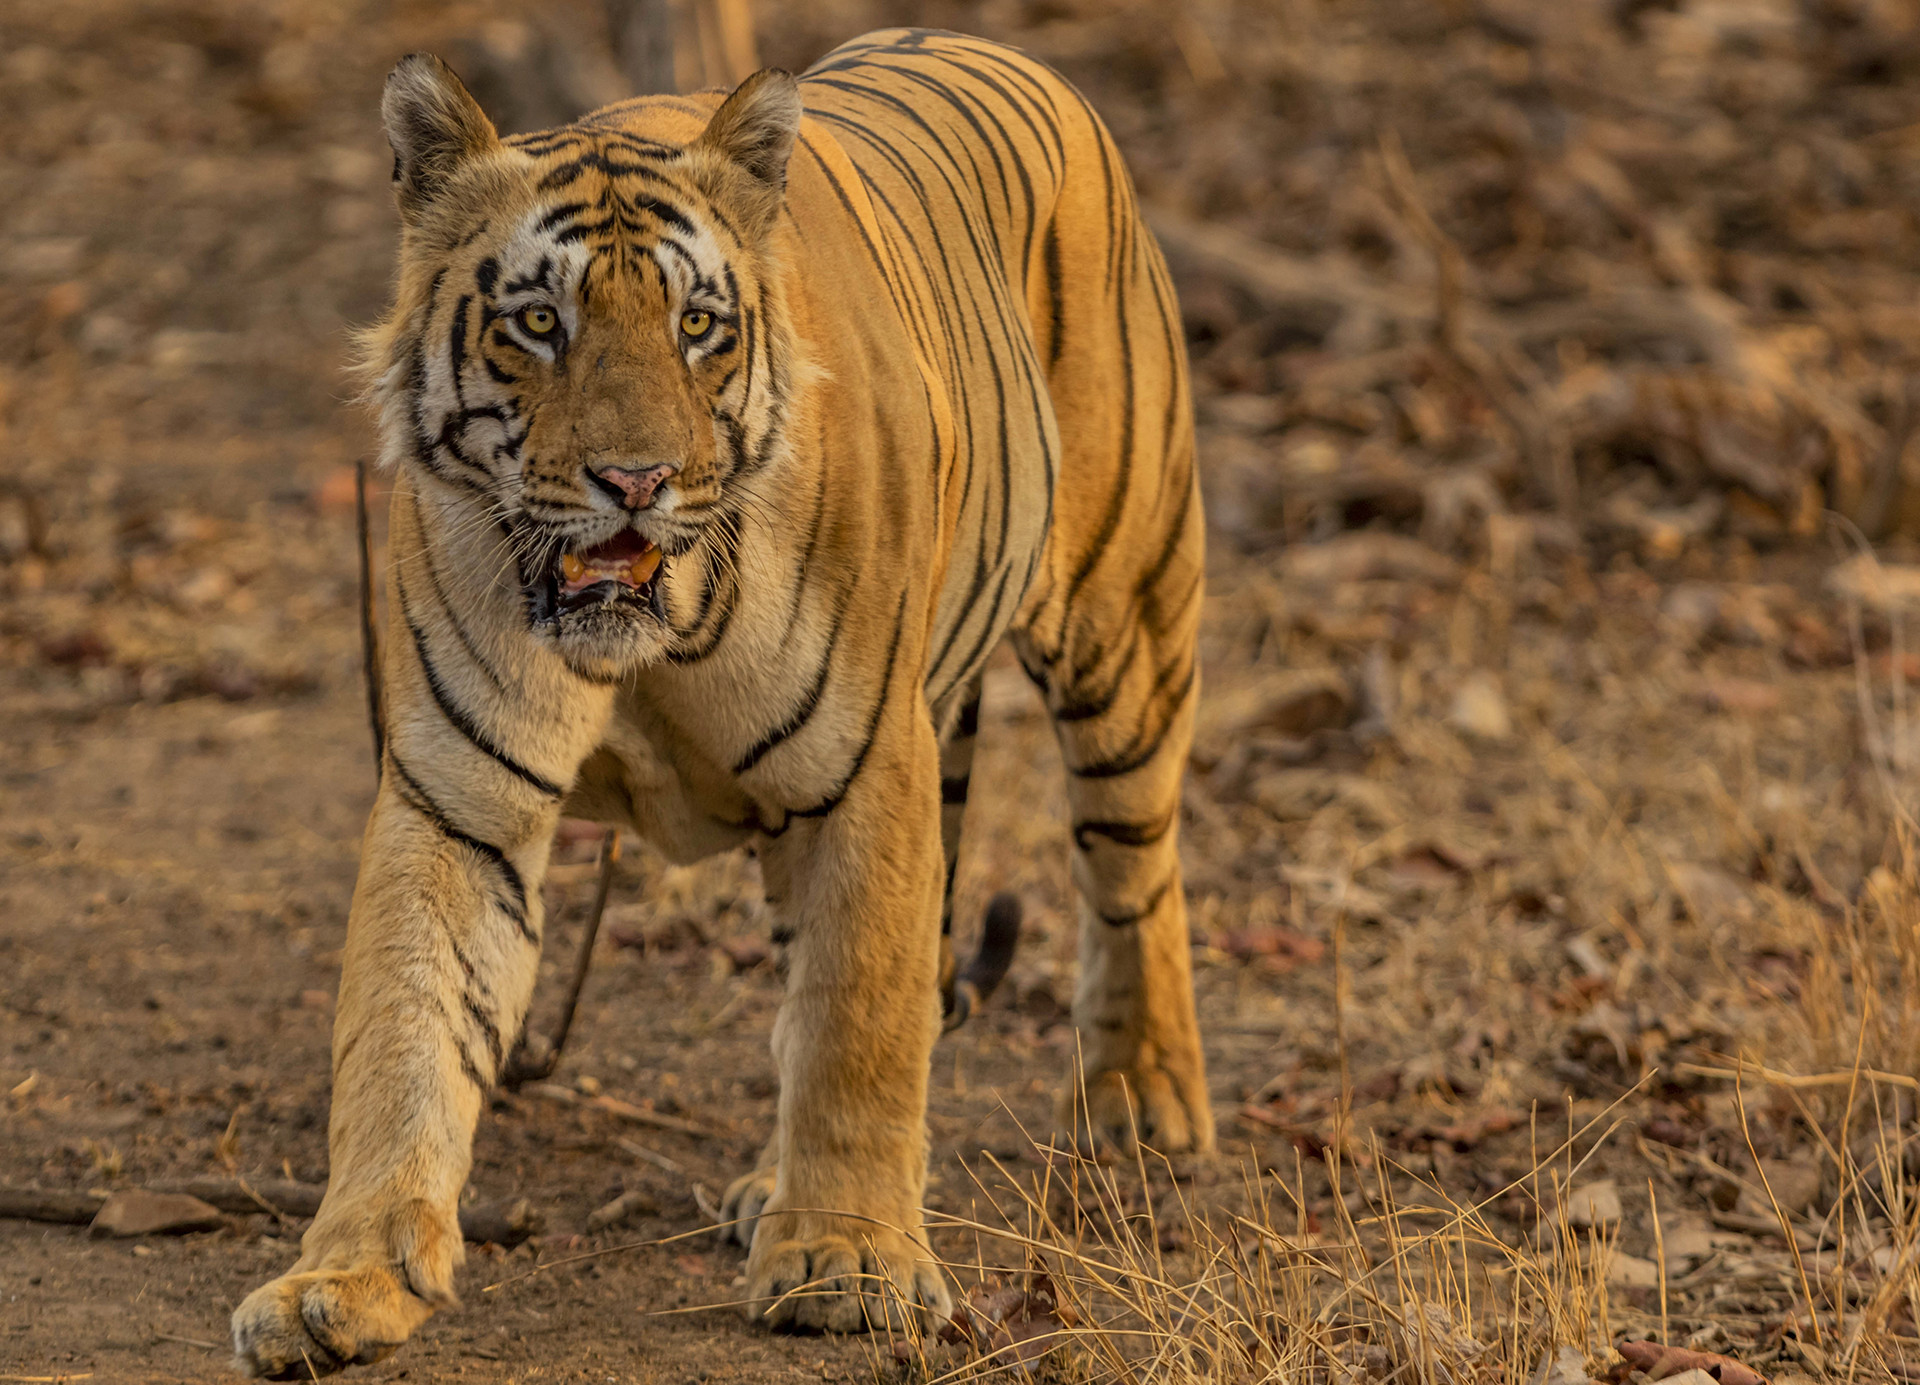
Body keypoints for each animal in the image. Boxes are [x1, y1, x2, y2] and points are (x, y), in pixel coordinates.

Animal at [231, 27, 1211, 1378]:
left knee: (1132, 858)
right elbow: (404, 1025)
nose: (636, 479)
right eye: (538, 322)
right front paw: (346, 1276)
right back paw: (769, 1185)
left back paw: (1141, 1097)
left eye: (699, 326)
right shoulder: (458, 792)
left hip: (1124, 612)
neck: (650, 633)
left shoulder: (870, 769)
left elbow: (860, 1019)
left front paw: (849, 1261)